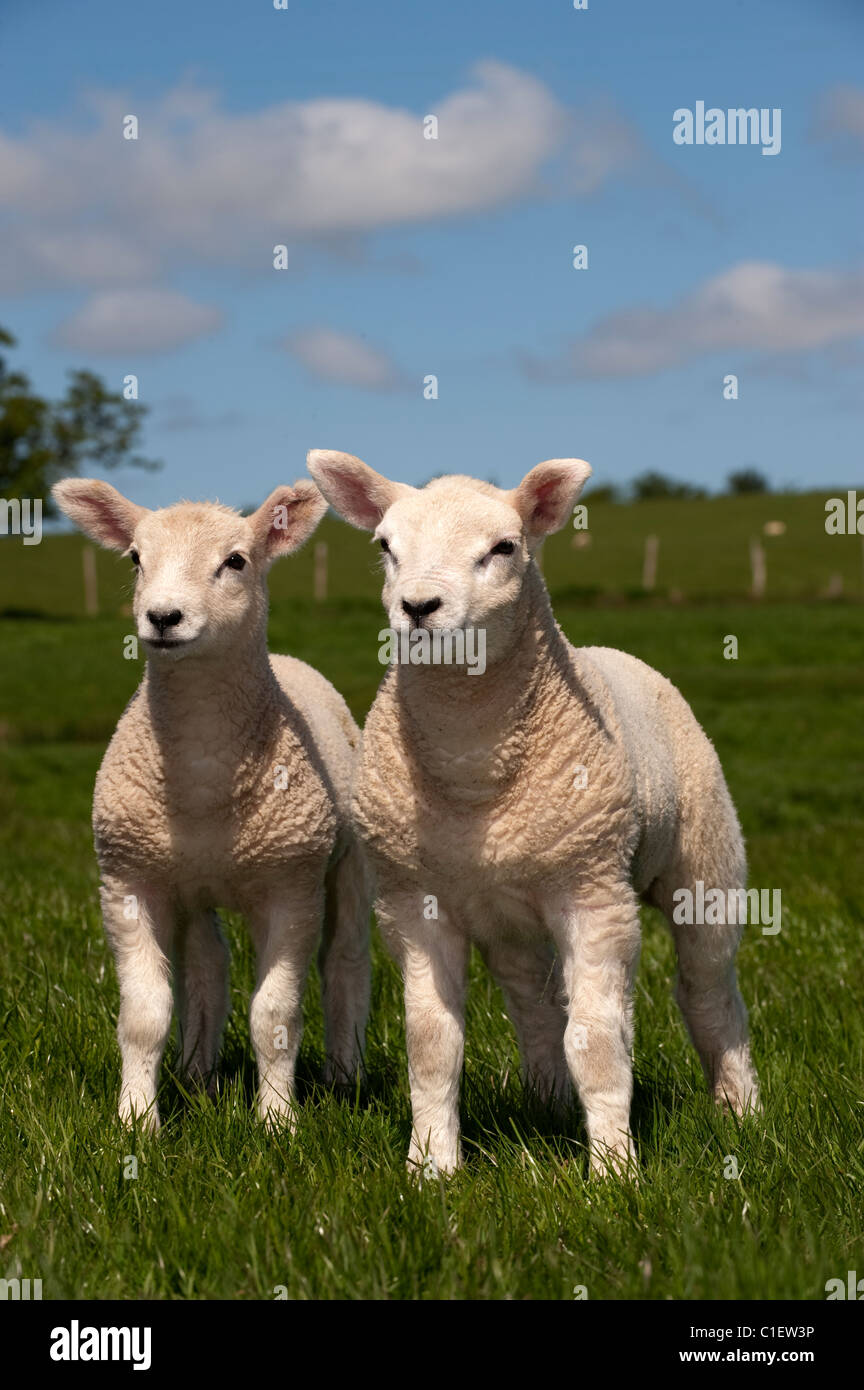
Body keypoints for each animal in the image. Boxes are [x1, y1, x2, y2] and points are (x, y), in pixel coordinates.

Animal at [52, 476, 370, 1133]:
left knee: (346, 960)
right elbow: (145, 1014)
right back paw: (198, 1072)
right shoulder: (128, 880)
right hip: (192, 884)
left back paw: (344, 1074)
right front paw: (135, 1121)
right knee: (207, 966)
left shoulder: (289, 887)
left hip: (347, 863)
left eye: (236, 561)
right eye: (135, 558)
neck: (201, 771)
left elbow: (275, 1015)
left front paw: (276, 1122)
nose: (163, 617)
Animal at [306, 449, 760, 1177]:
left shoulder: (592, 894)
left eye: (503, 548)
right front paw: (431, 1166)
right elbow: (432, 1042)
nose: (418, 607)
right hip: (509, 909)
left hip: (707, 860)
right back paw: (548, 1101)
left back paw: (740, 1109)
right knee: (536, 996)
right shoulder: (413, 903)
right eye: (385, 547)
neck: (473, 767)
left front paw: (614, 1171)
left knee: (709, 990)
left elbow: (597, 1040)